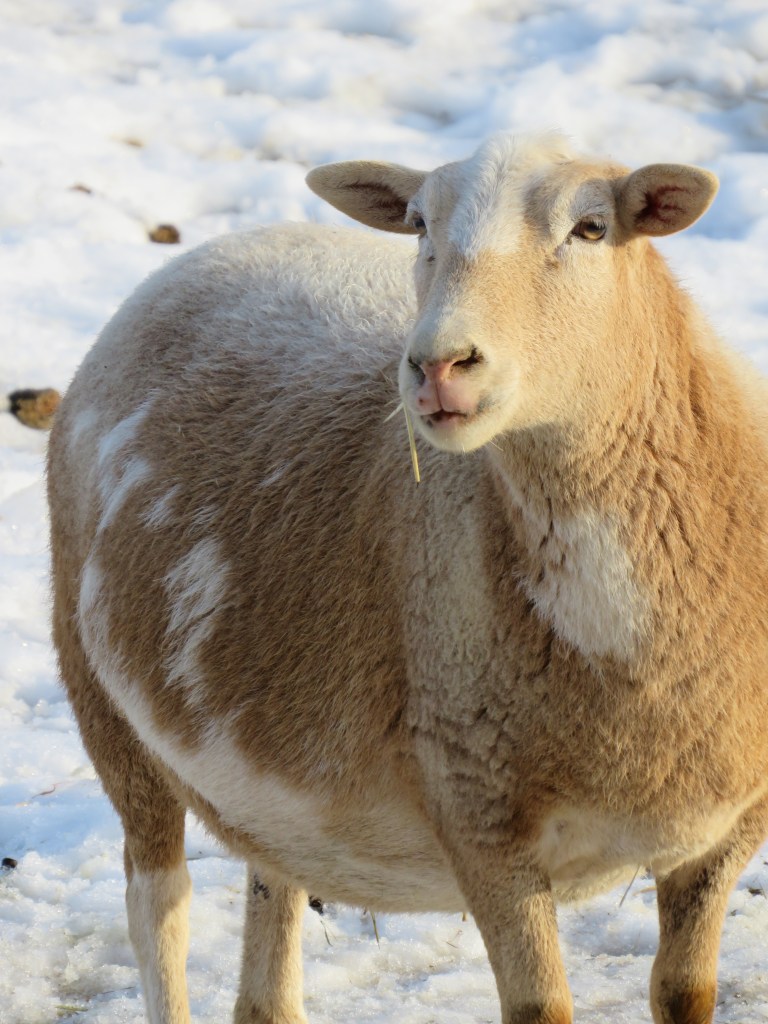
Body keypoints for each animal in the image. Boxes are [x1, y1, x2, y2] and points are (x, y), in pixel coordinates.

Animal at [47, 131, 768, 1024]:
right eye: (420, 223)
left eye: (592, 227)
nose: (438, 366)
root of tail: (209, 252)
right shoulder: (480, 815)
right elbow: (542, 1009)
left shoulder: (728, 830)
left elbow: (685, 993)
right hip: (100, 700)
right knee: (159, 907)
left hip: (271, 790)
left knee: (269, 926)